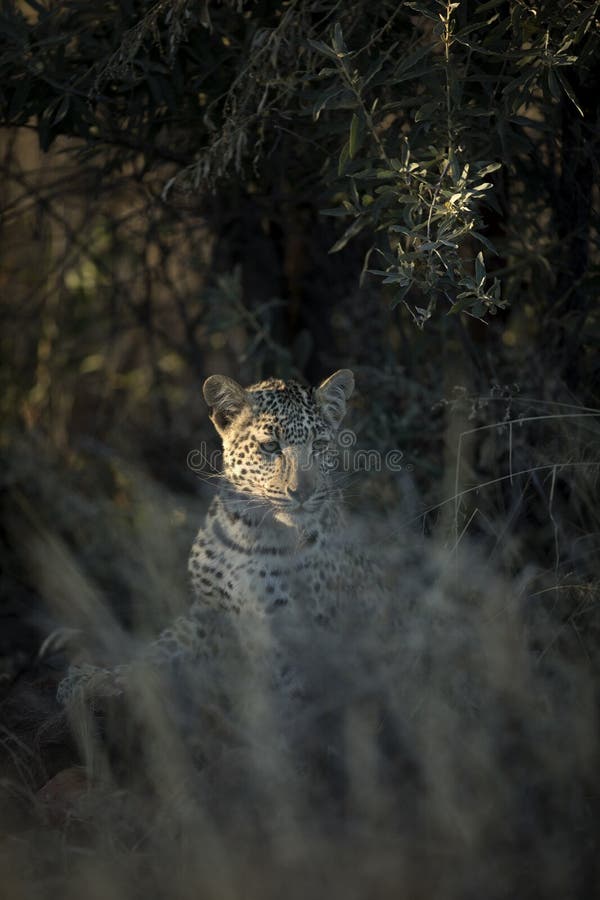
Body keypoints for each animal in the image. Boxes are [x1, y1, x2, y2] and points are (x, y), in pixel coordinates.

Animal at [56, 368, 378, 709]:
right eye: (270, 446)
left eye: (319, 445)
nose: (302, 492)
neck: (250, 532)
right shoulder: (207, 611)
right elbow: (158, 653)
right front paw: (92, 679)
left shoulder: (294, 633)